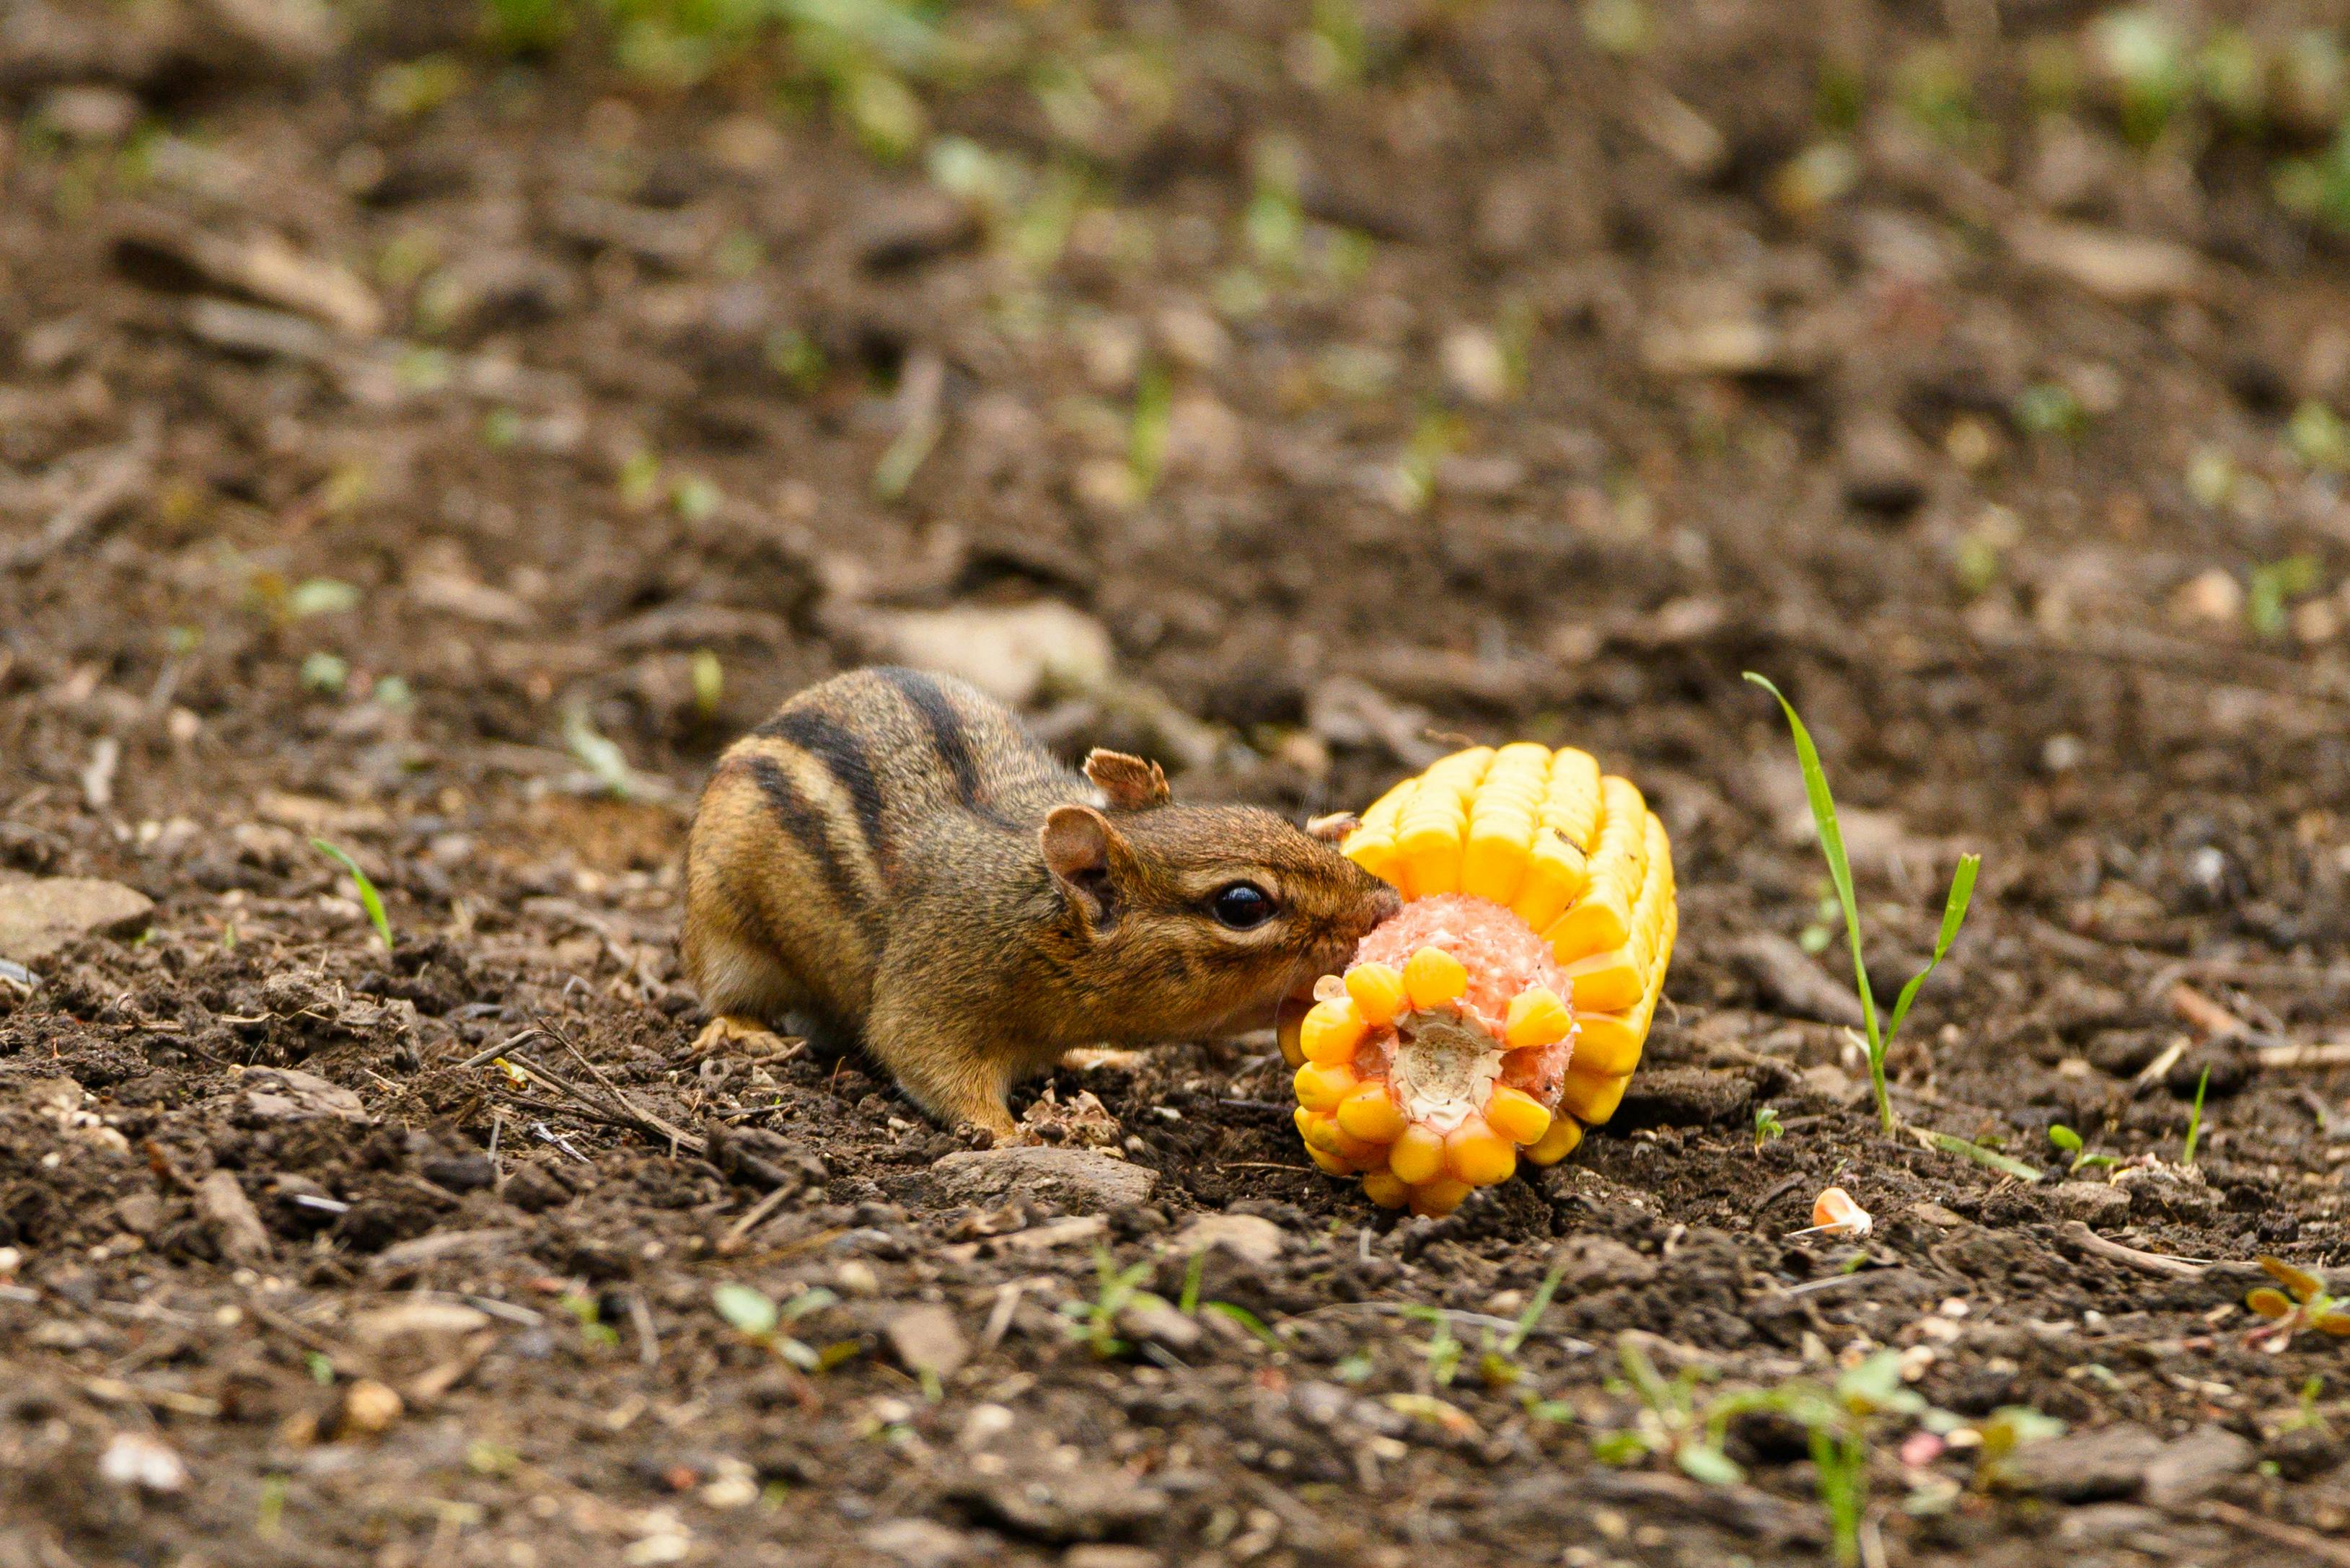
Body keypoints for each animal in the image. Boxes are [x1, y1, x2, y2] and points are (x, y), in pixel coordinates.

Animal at [680, 665, 1401, 1142]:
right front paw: (1013, 1134)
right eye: (1243, 904)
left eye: (1271, 817)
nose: (1387, 907)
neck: (1033, 918)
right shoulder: (933, 993)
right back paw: (742, 1030)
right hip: (722, 928)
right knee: (724, 994)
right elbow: (923, 1061)